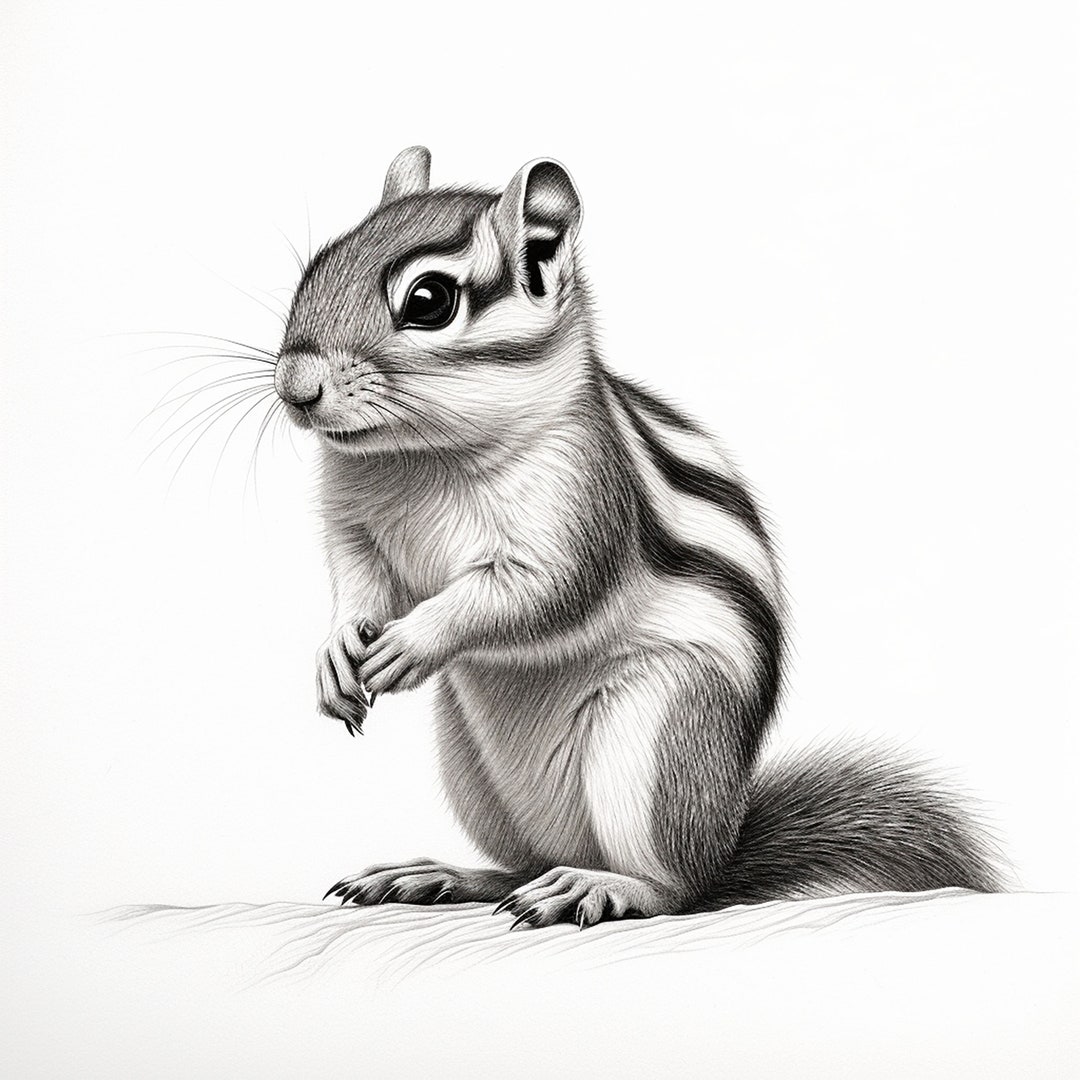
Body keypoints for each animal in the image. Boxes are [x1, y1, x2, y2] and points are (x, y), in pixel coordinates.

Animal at [272, 146, 1002, 929]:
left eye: (429, 300)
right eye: (319, 263)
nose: (294, 387)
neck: (419, 457)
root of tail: (724, 840)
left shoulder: (583, 508)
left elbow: (538, 595)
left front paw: (411, 641)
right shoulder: (353, 528)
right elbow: (356, 584)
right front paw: (336, 654)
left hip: (656, 735)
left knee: (674, 889)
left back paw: (601, 886)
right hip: (471, 767)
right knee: (519, 865)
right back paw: (441, 876)